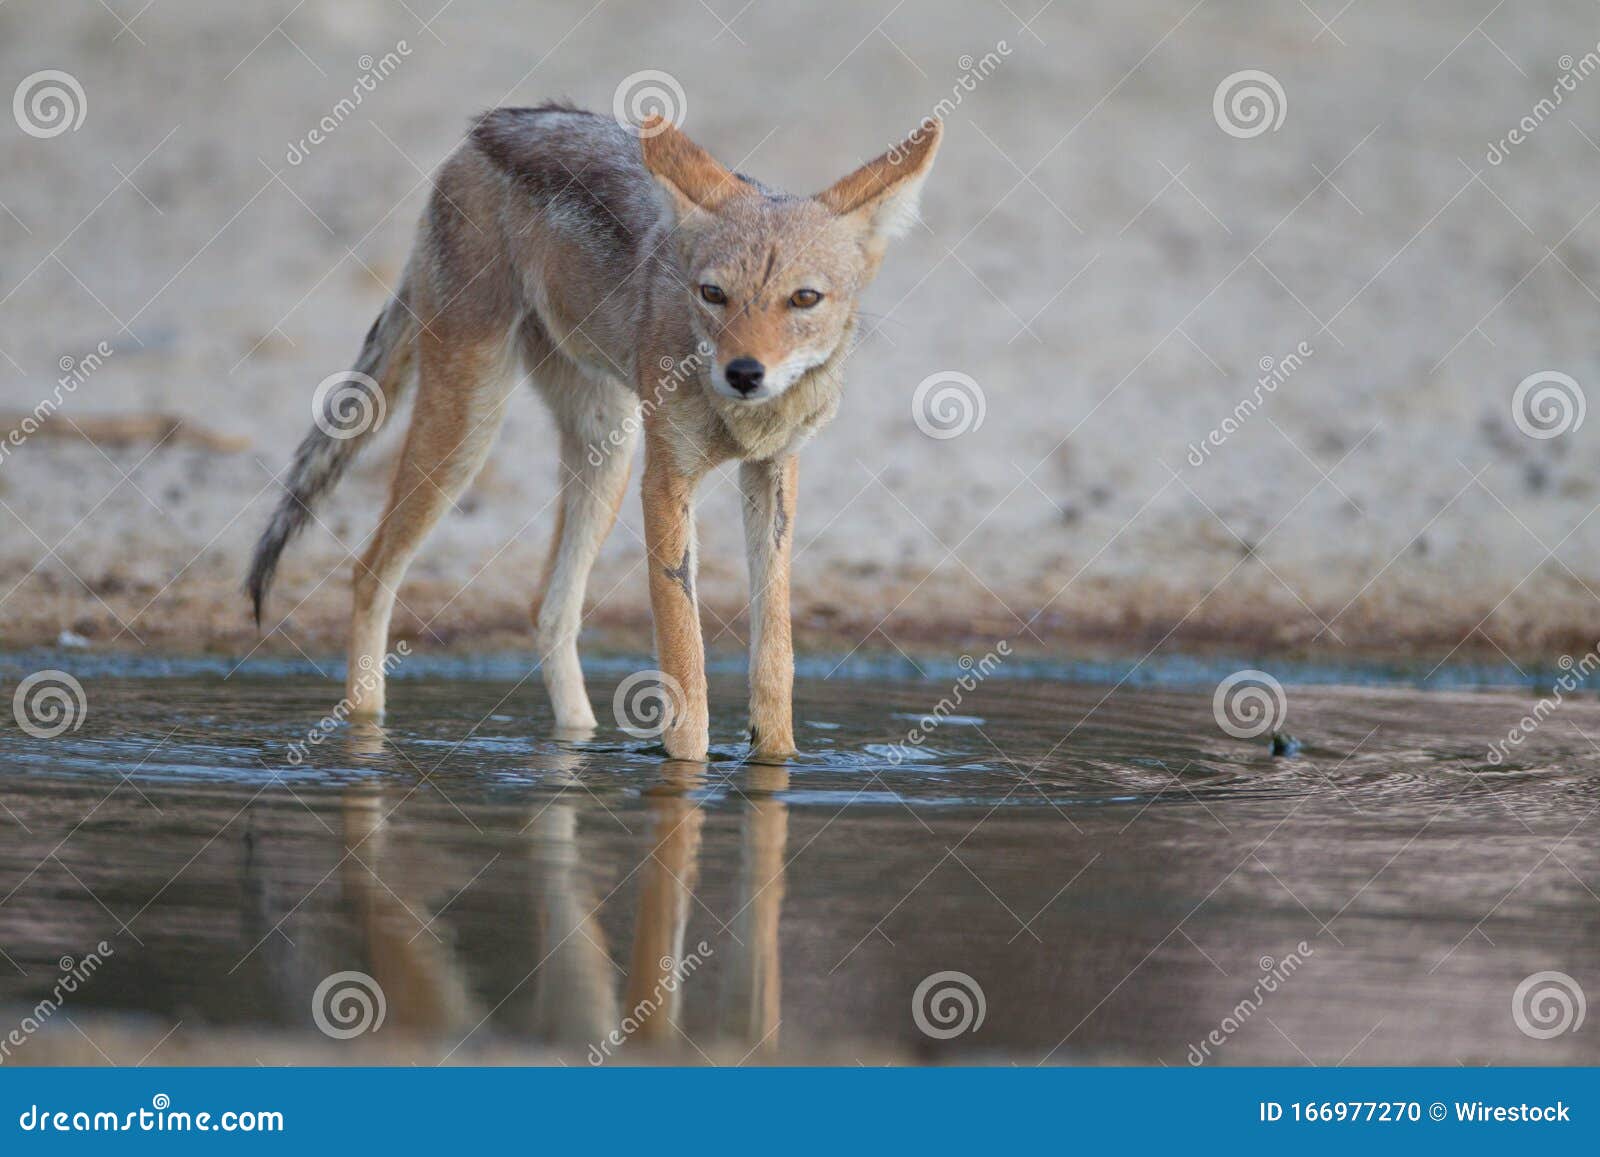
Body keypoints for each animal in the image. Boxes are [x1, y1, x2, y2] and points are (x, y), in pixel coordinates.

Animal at [246, 103, 942, 762]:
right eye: (713, 294)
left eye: (803, 299)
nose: (745, 372)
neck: (744, 418)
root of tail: (484, 131)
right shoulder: (665, 483)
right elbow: (685, 667)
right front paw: (687, 771)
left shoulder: (772, 474)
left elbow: (775, 661)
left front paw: (776, 762)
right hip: (472, 429)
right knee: (370, 574)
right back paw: (366, 733)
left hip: (605, 451)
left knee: (548, 609)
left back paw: (576, 740)